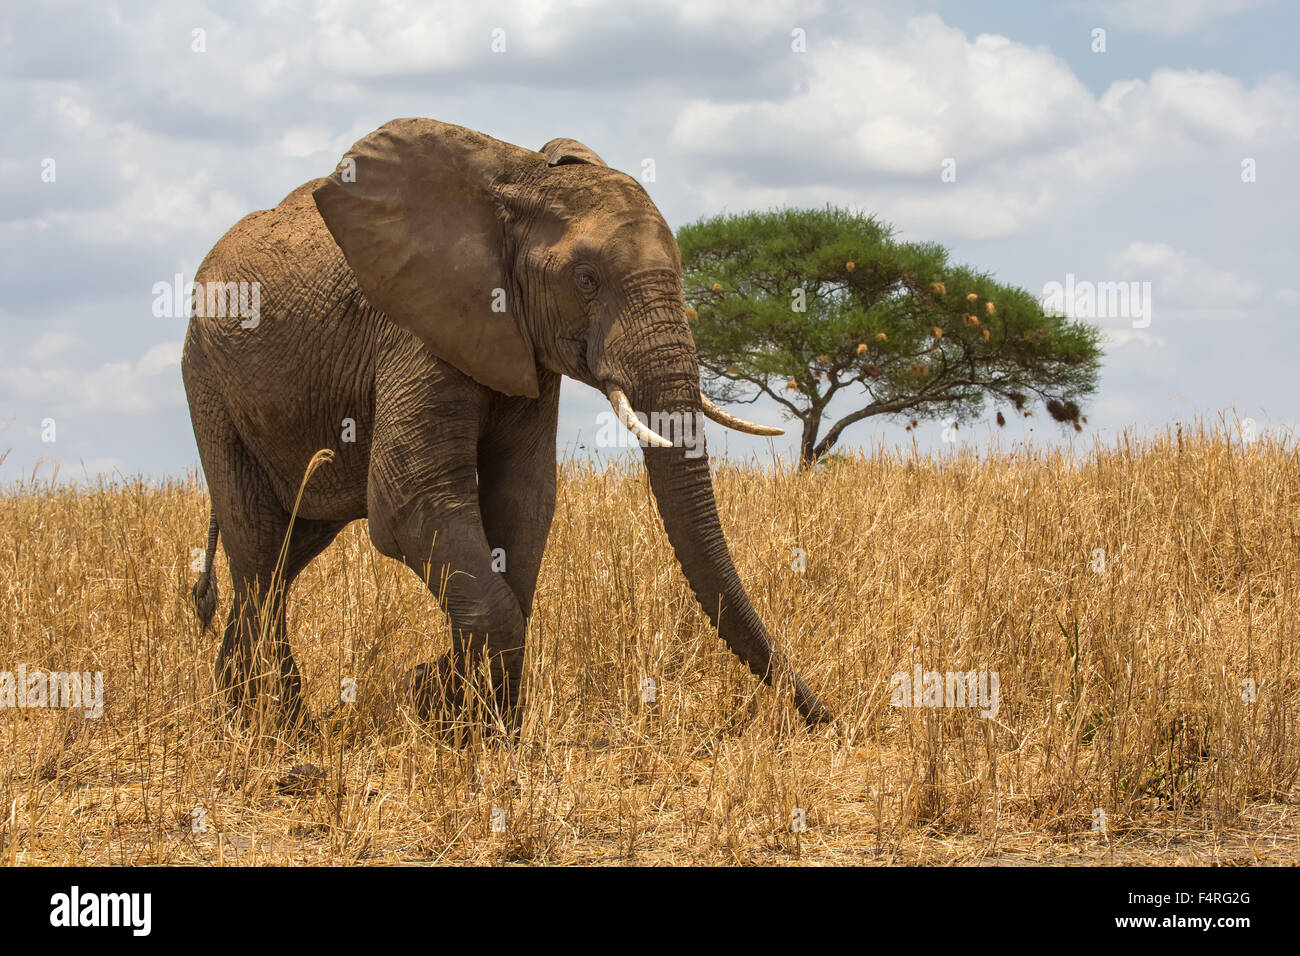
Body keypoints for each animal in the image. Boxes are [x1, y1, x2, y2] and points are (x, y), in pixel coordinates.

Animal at [182, 117, 832, 733]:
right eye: (586, 280)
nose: (829, 715)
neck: (520, 184)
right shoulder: (416, 329)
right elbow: (411, 502)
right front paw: (449, 708)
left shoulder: (524, 347)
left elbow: (523, 499)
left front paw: (457, 709)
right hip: (208, 381)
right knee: (260, 547)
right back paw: (281, 729)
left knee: (286, 549)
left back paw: (240, 711)